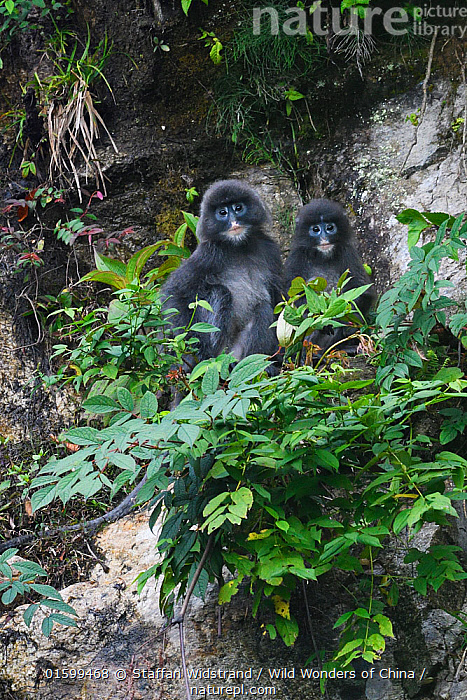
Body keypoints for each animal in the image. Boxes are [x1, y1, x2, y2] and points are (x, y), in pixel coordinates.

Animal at [161, 179, 283, 371]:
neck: (239, 247)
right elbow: (176, 293)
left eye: (238, 208)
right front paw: (195, 353)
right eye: (222, 213)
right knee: (221, 292)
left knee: (263, 306)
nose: (233, 221)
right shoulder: (209, 253)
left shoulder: (270, 250)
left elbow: (278, 298)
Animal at [284, 199, 375, 352]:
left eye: (330, 227)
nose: (324, 238)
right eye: (315, 229)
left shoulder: (347, 252)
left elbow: (363, 291)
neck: (322, 257)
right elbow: (289, 299)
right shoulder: (297, 257)